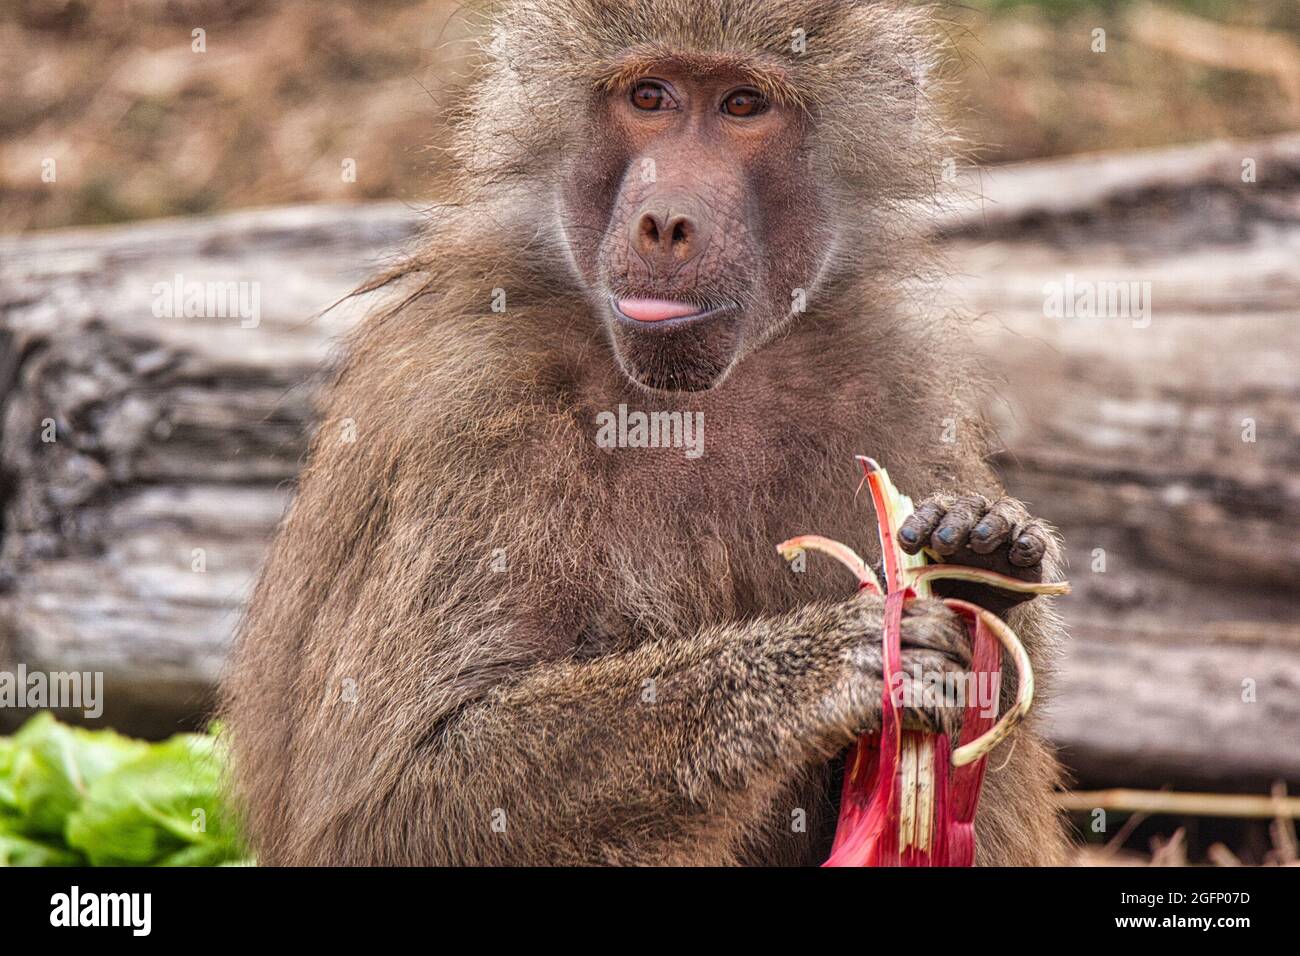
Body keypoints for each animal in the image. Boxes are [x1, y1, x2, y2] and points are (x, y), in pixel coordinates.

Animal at [221, 0, 1070, 866]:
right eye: (650, 97)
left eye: (741, 105)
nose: (666, 221)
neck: (685, 401)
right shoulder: (472, 401)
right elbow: (393, 803)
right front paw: (834, 667)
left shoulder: (894, 375)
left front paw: (979, 562)